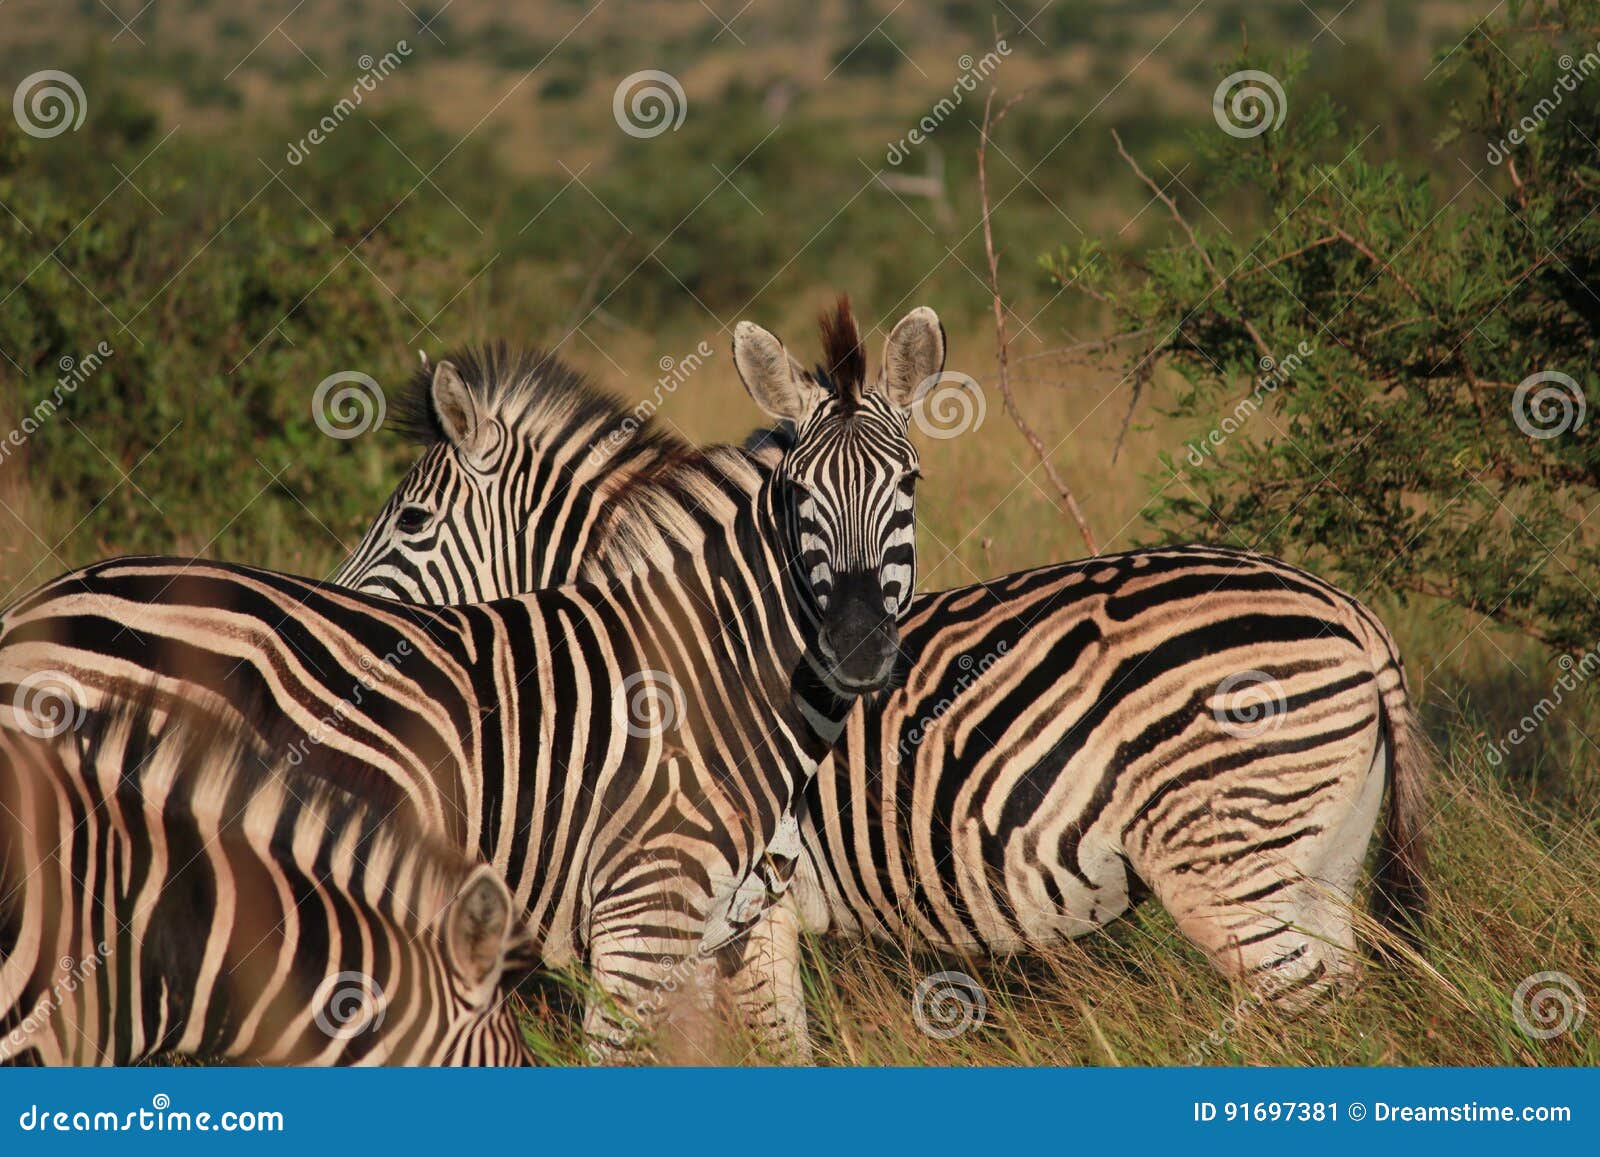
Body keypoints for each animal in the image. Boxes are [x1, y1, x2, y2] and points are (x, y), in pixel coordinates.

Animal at [331, 318, 1431, 1059]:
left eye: (411, 522)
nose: (344, 626)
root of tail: (1354, 611)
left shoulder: (744, 906)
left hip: (1223, 863)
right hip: (1313, 860)